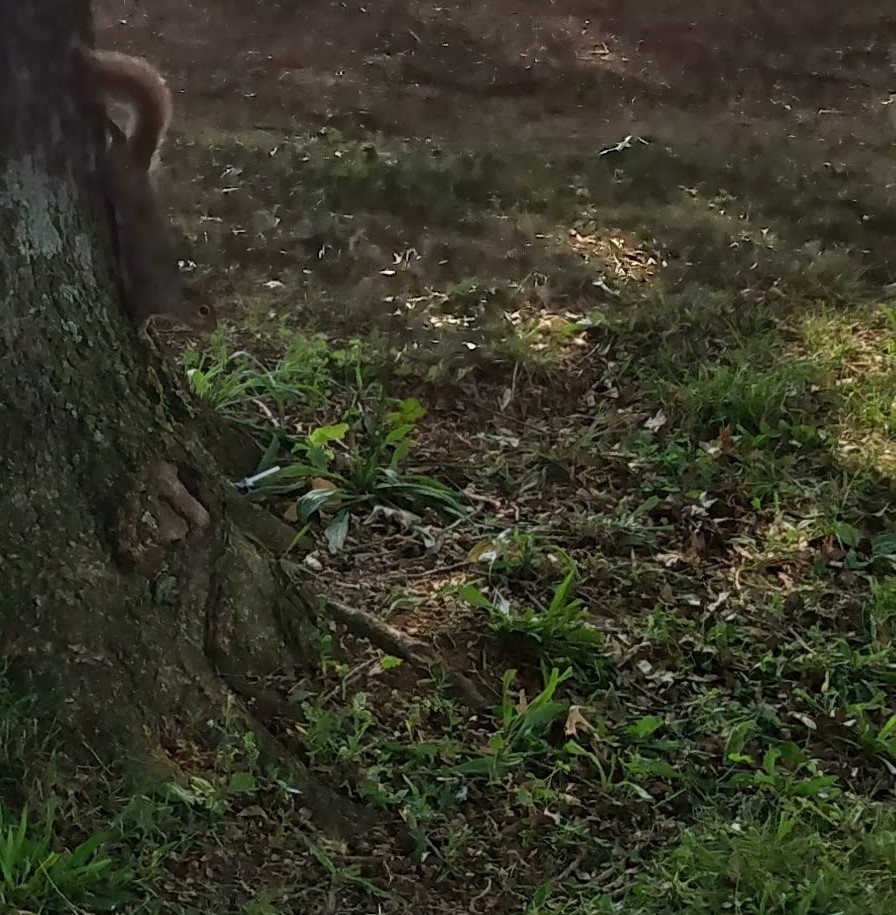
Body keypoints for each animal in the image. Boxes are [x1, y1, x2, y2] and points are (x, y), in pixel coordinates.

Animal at [78, 46, 218, 337]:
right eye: (203, 310)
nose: (215, 327)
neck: (171, 295)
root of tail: (138, 161)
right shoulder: (146, 297)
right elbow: (138, 313)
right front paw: (143, 335)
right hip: (117, 175)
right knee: (116, 140)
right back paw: (103, 118)